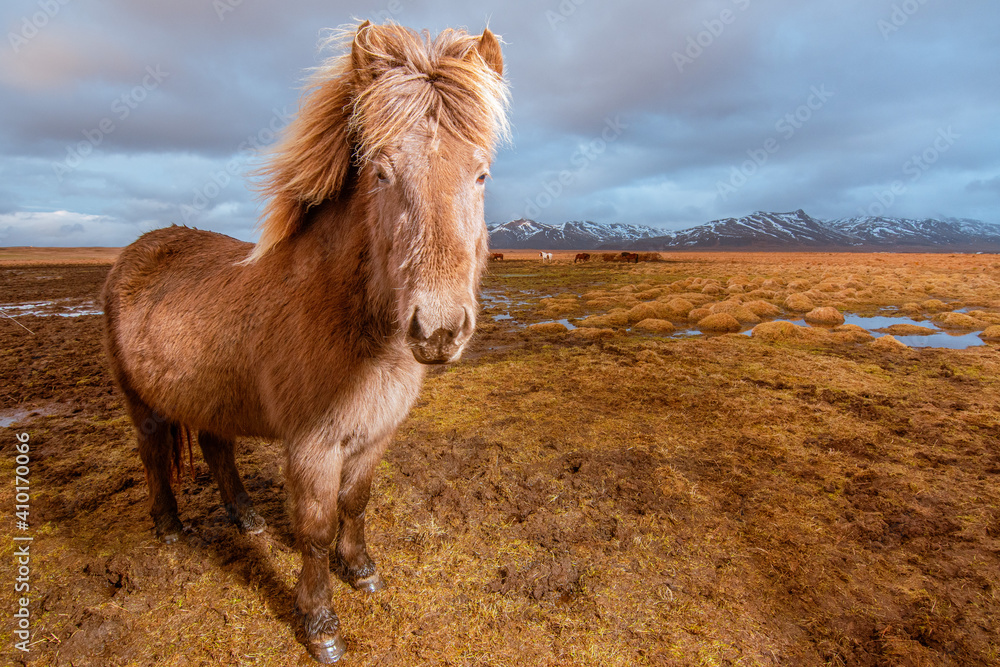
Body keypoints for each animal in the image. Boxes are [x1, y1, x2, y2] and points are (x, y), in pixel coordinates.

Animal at [102, 21, 508, 664]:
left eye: (481, 173)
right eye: (382, 173)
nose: (440, 328)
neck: (352, 325)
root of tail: (133, 254)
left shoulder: (373, 435)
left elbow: (356, 503)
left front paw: (362, 569)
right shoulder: (313, 446)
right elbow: (315, 529)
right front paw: (319, 623)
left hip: (213, 396)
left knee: (217, 448)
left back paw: (246, 519)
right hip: (141, 404)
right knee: (151, 454)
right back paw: (169, 528)